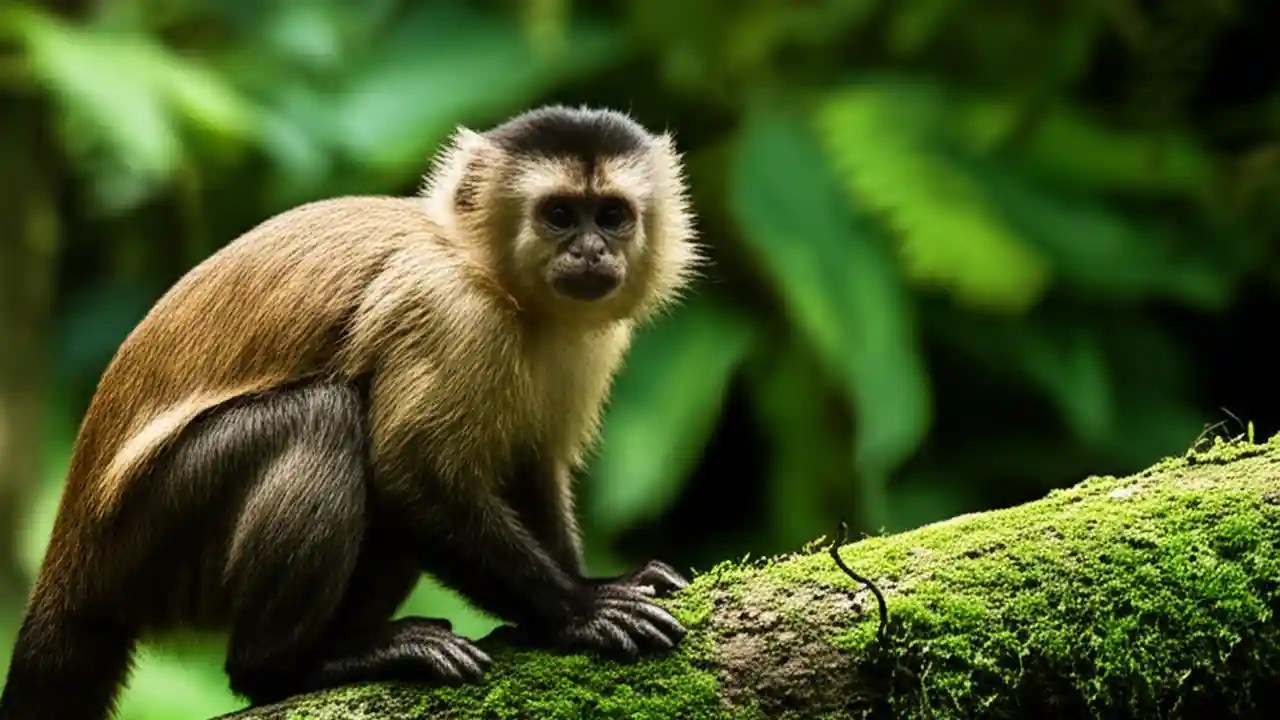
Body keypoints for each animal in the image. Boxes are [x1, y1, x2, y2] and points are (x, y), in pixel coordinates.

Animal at [0, 104, 702, 720]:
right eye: (559, 215)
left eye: (611, 216)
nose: (591, 251)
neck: (496, 283)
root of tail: (70, 569)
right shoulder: (443, 308)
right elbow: (410, 478)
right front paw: (580, 607)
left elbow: (526, 470)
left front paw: (601, 582)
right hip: (151, 541)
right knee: (326, 417)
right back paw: (286, 668)